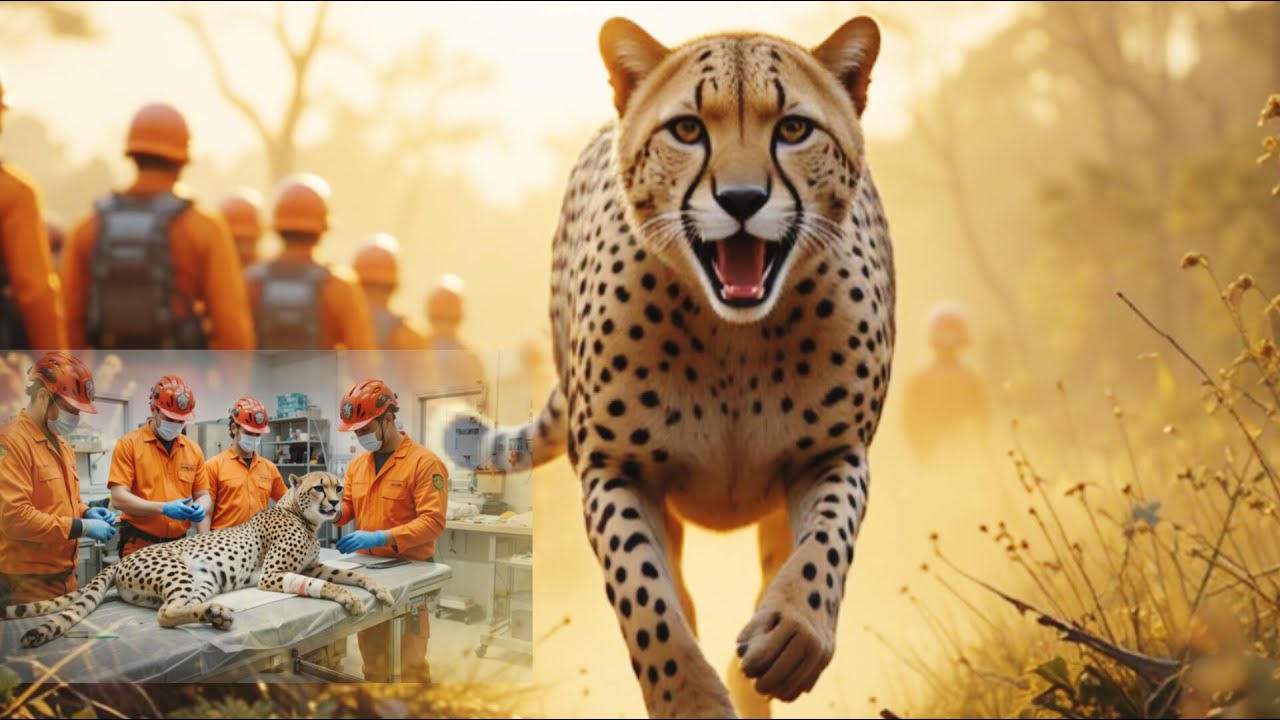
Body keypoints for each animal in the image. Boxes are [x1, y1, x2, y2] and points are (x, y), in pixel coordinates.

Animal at [1, 471, 395, 648]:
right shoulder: (273, 574)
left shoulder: (310, 566)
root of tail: (120, 561)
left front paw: (379, 590)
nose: (336, 503)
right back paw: (218, 615)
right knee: (164, 615)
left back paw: (215, 615)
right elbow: (328, 585)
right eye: (318, 488)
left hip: (202, 582)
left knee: (173, 610)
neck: (303, 517)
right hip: (181, 573)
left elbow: (350, 574)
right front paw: (350, 600)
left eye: (338, 486)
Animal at [450, 15, 894, 719]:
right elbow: (647, 596)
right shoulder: (616, 467)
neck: (735, 337)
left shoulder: (832, 453)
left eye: (793, 128)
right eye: (687, 129)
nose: (742, 199)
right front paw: (690, 697)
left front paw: (792, 635)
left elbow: (823, 548)